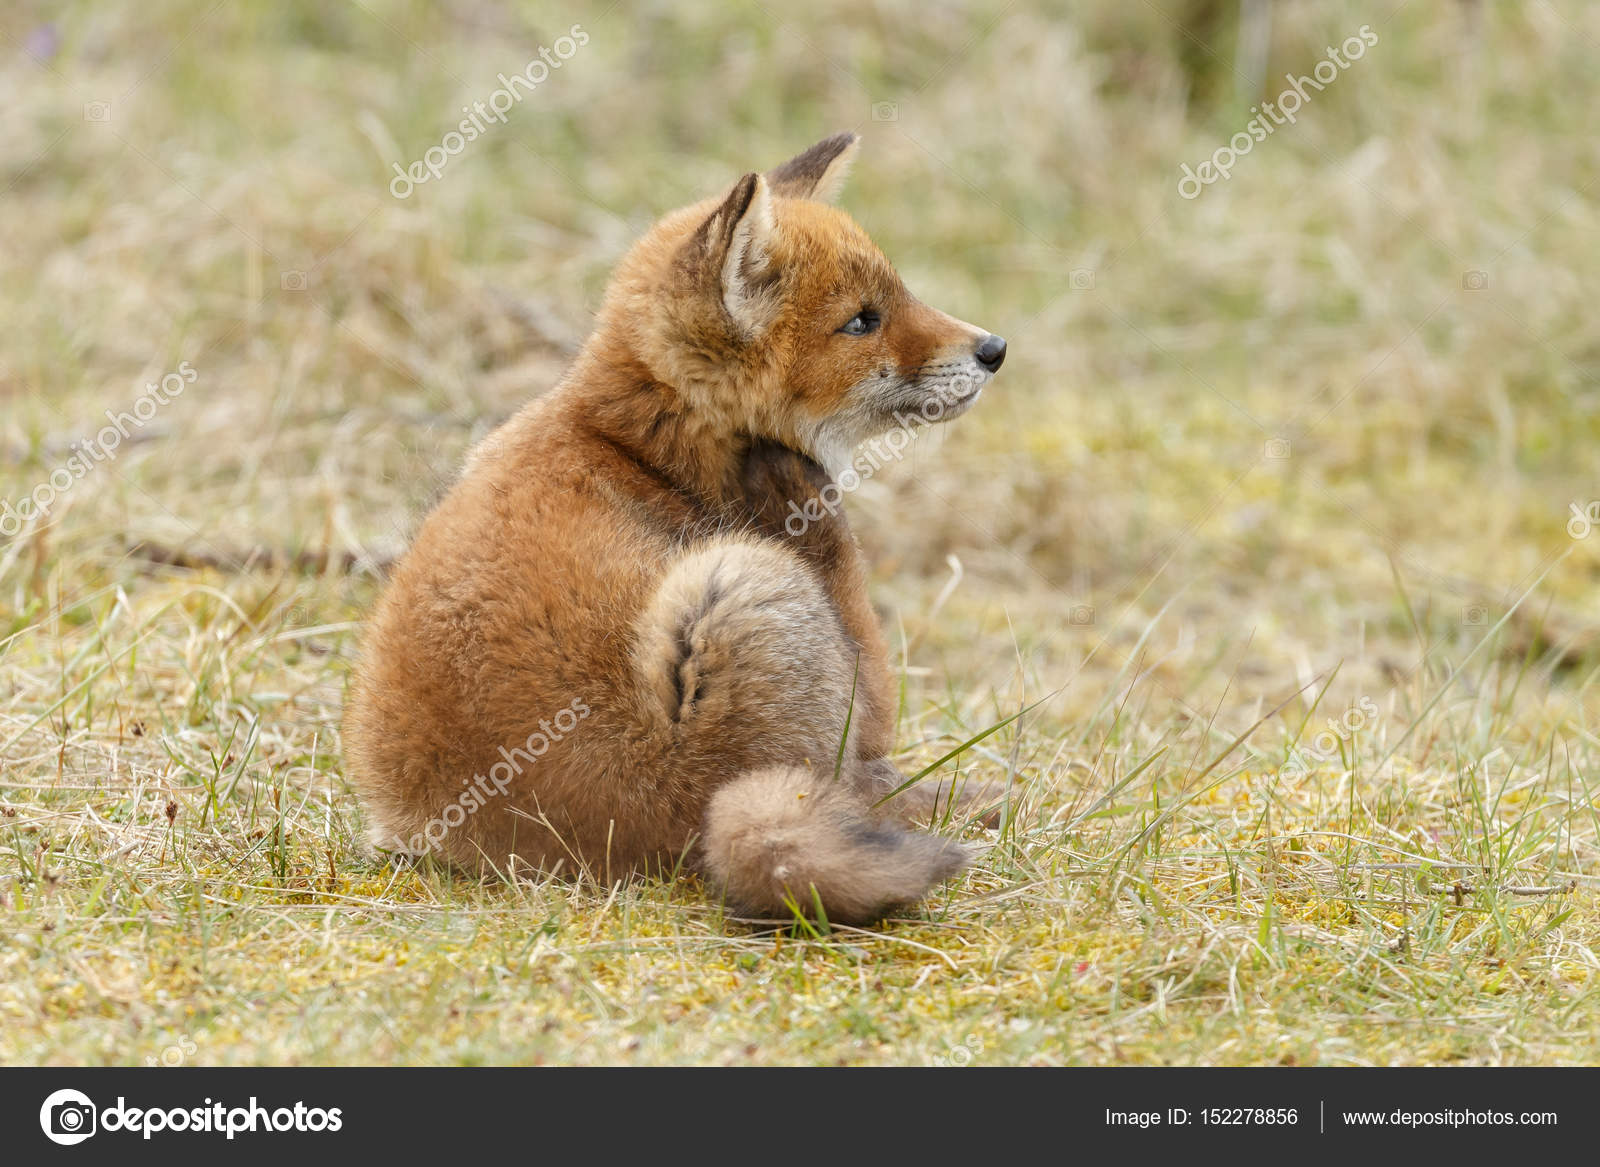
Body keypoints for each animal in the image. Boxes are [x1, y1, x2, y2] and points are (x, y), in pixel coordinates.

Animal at [343, 132, 1009, 924]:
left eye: (902, 292)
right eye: (862, 320)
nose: (994, 349)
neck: (647, 444)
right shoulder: (860, 675)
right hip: (745, 583)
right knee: (861, 794)